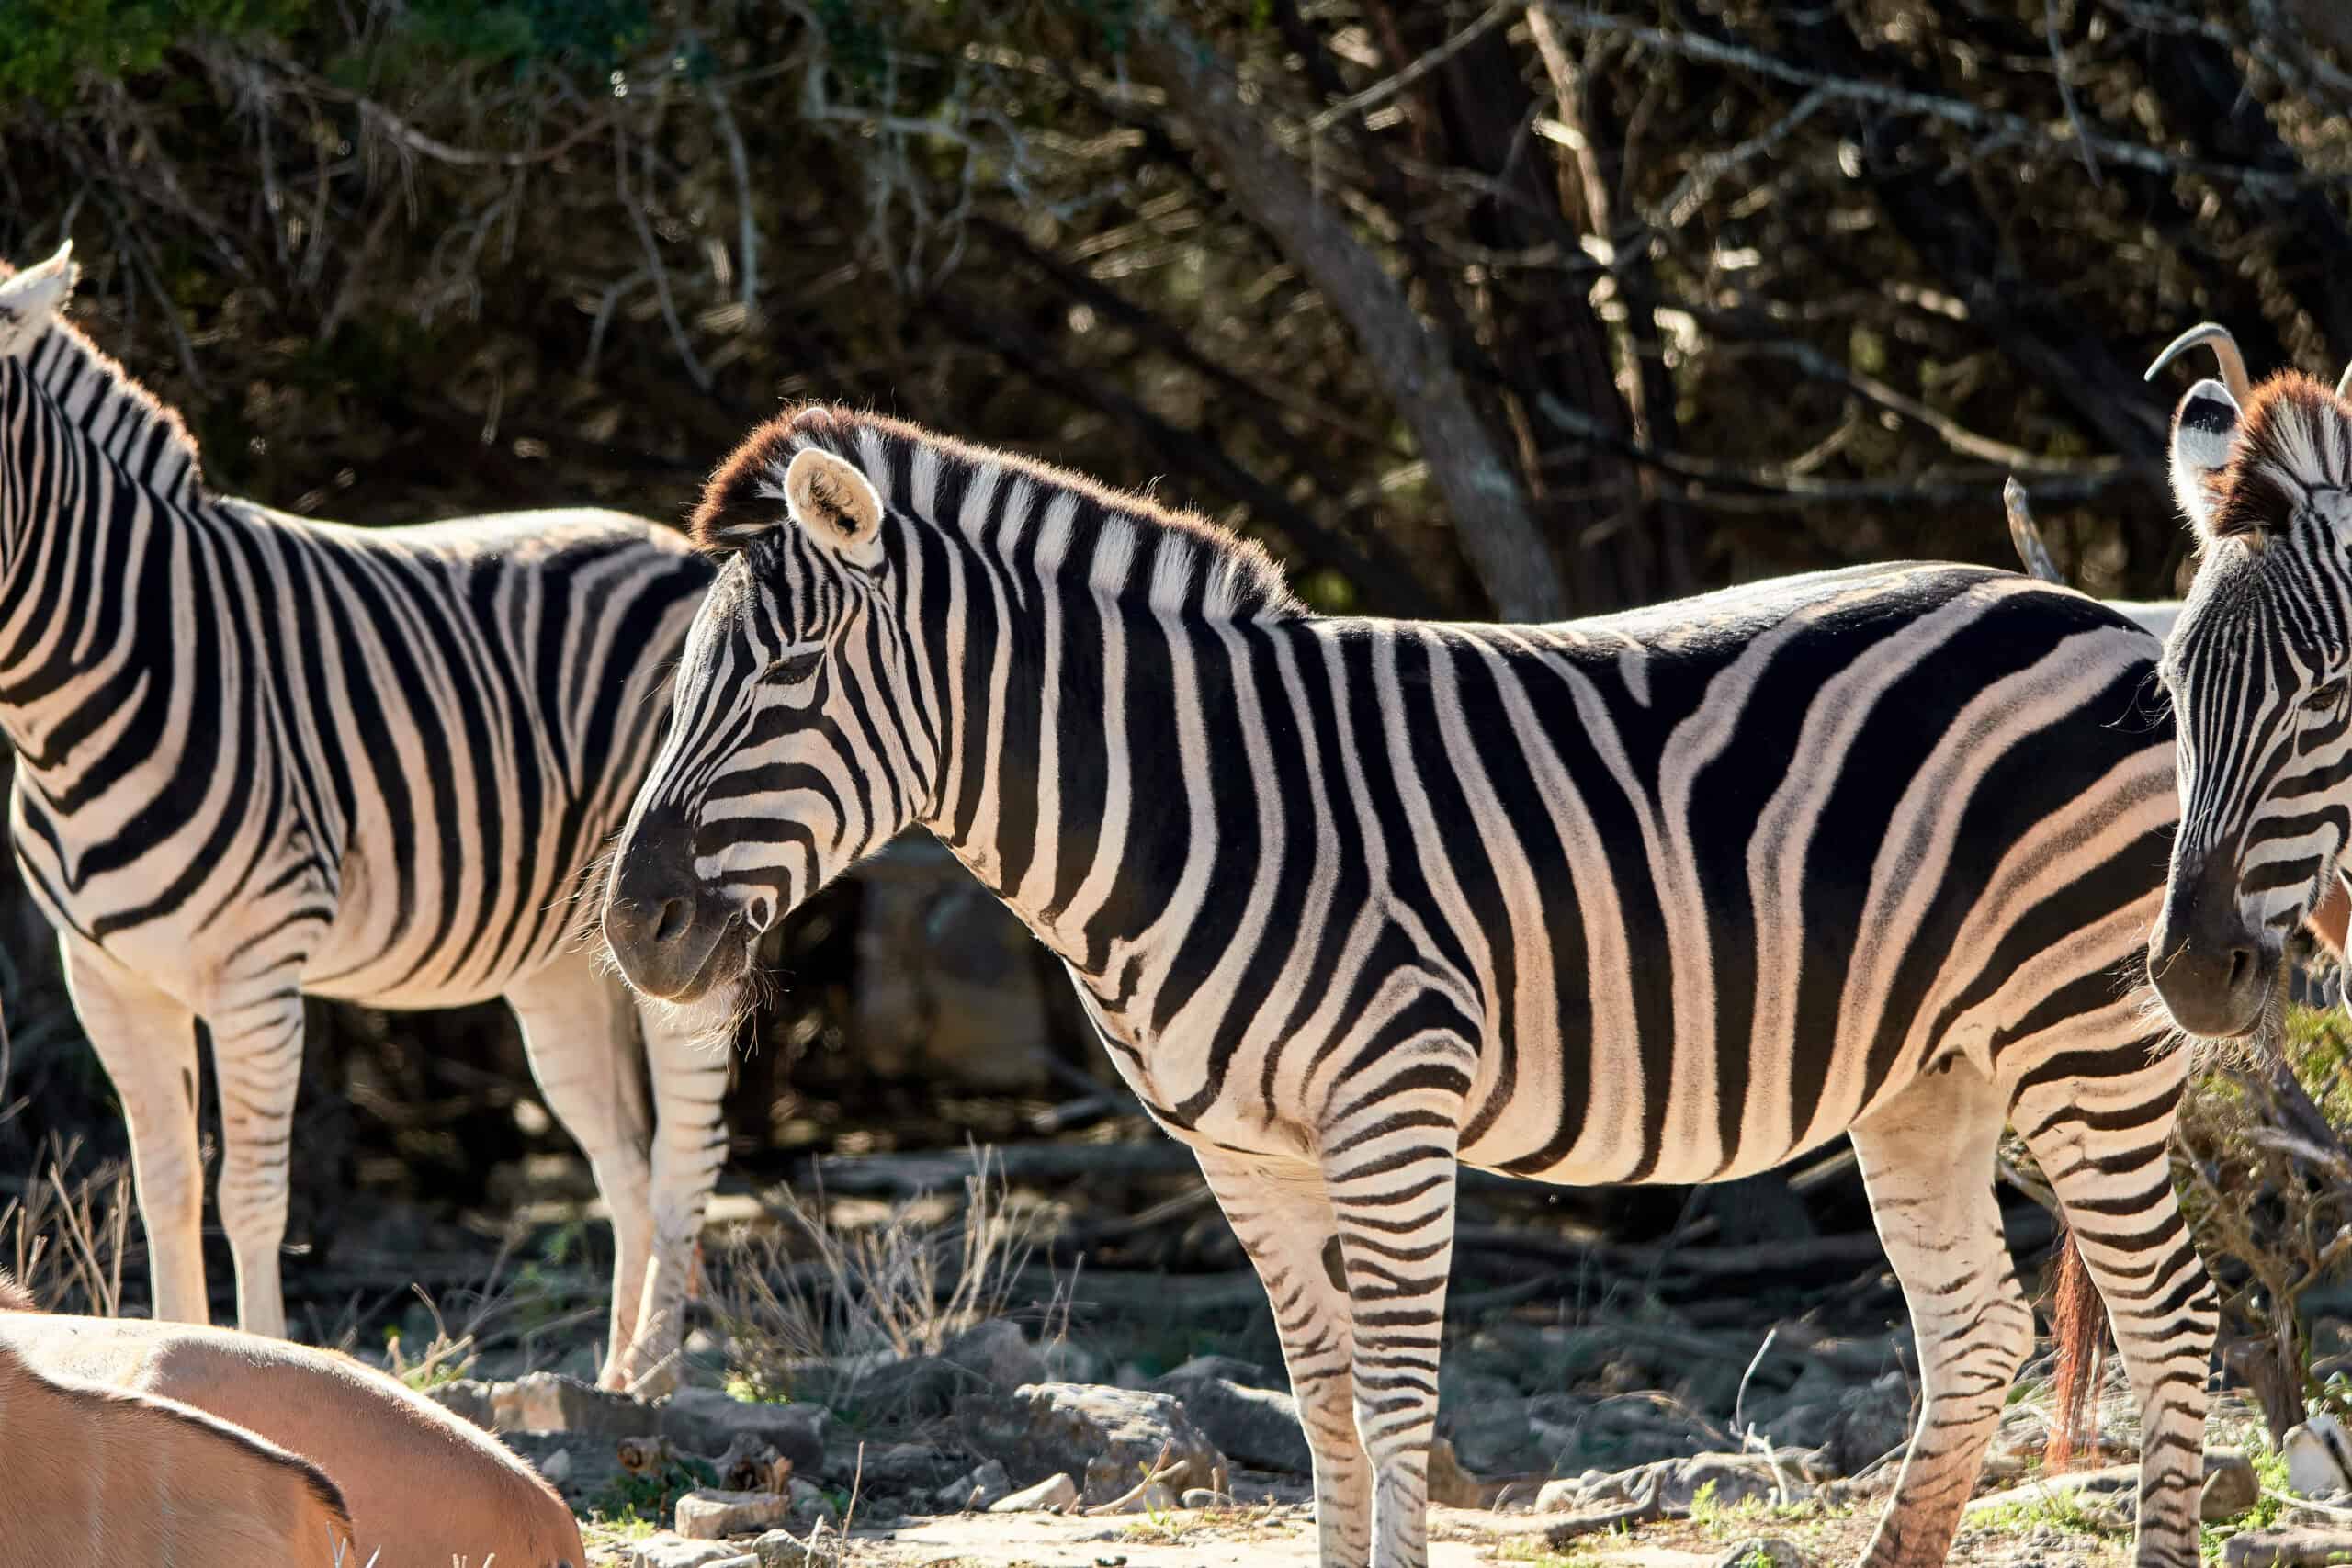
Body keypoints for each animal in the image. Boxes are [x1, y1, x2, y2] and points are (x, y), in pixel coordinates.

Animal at [0, 245, 727, 1389]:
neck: (79, 689)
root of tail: (675, 543)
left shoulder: (257, 971)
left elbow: (252, 1197)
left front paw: (257, 1362)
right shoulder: (107, 977)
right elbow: (164, 1188)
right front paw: (164, 1351)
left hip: (691, 915)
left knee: (685, 1147)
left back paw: (653, 1378)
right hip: (568, 958)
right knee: (620, 1153)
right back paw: (609, 1377)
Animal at [602, 404, 2214, 1568]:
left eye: (788, 674)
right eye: (677, 686)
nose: (635, 928)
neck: (1195, 803)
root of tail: (2102, 611)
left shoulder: (1392, 1109)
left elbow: (1392, 1396)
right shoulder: (1241, 1149)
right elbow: (1319, 1396)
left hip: (2088, 1026)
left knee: (2171, 1311)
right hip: (1930, 1065)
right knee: (1981, 1327)